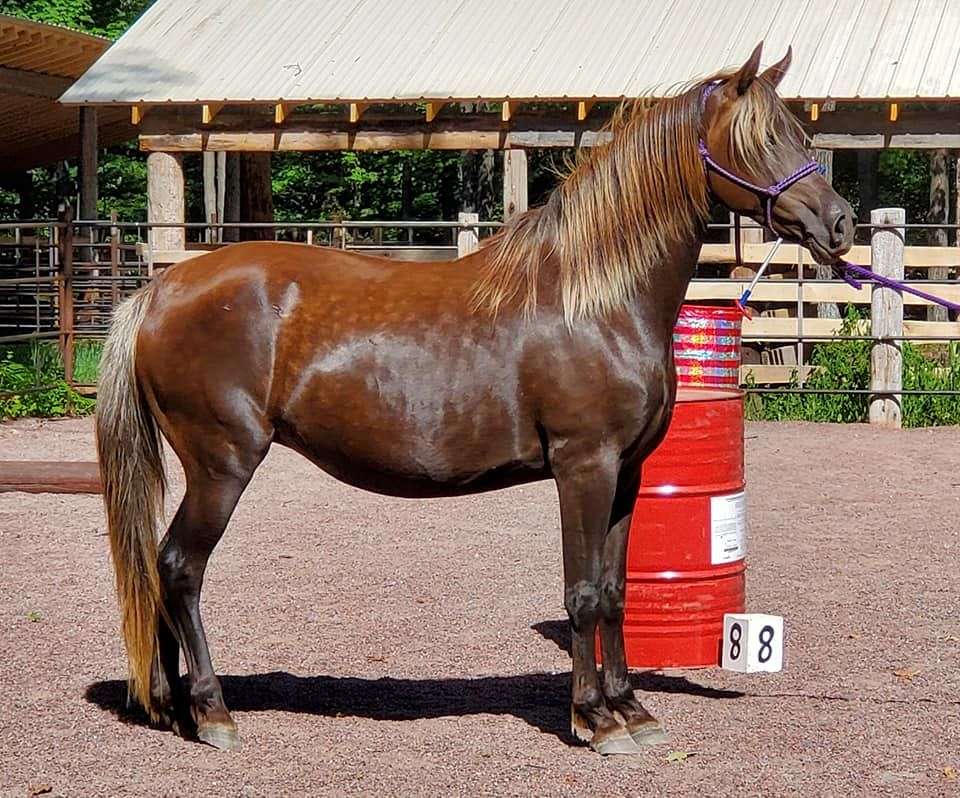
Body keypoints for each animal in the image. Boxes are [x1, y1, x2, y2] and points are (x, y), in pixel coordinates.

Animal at [96, 42, 853, 755]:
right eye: (762, 138)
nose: (840, 225)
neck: (594, 298)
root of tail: (160, 290)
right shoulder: (585, 467)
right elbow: (582, 593)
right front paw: (595, 720)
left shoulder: (629, 473)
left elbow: (613, 594)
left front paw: (633, 711)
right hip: (222, 466)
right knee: (179, 569)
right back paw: (212, 712)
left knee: (161, 569)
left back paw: (173, 708)